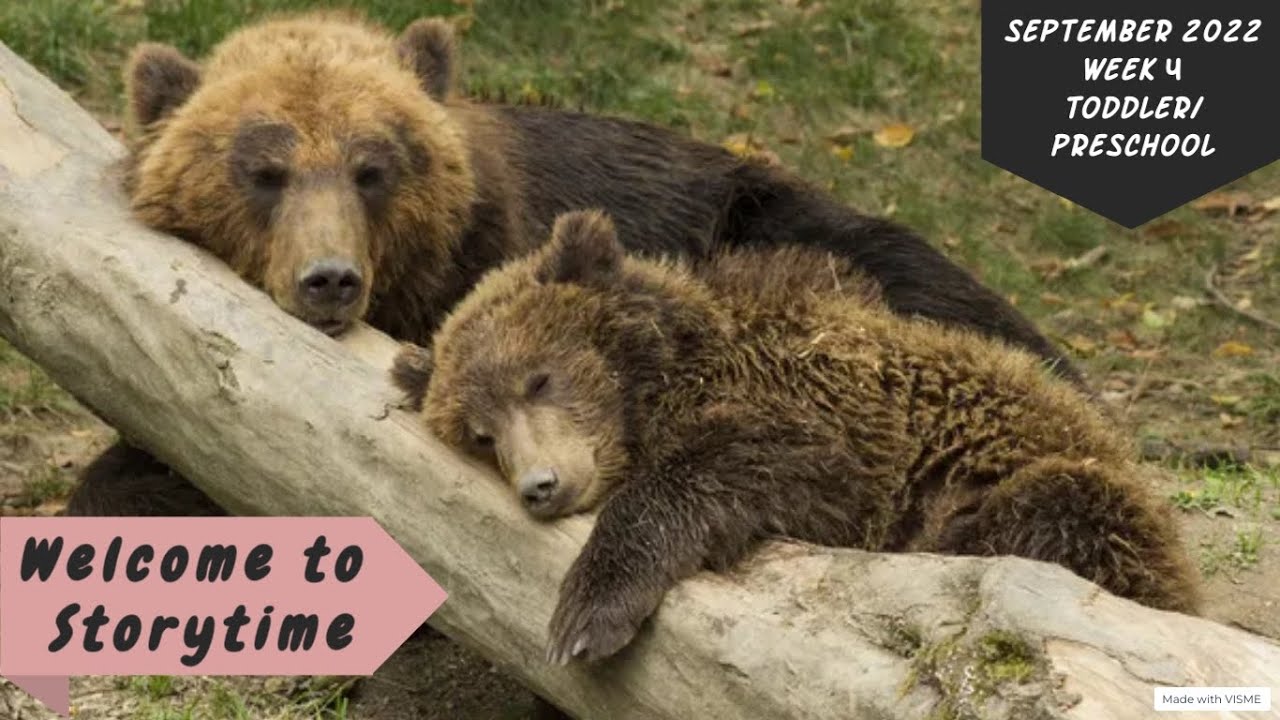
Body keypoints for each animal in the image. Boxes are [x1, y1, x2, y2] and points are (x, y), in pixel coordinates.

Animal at [395, 209, 1200, 665]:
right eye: (480, 433)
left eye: (538, 378)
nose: (541, 485)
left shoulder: (842, 420)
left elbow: (747, 463)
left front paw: (587, 615)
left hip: (1063, 492)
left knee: (1056, 515)